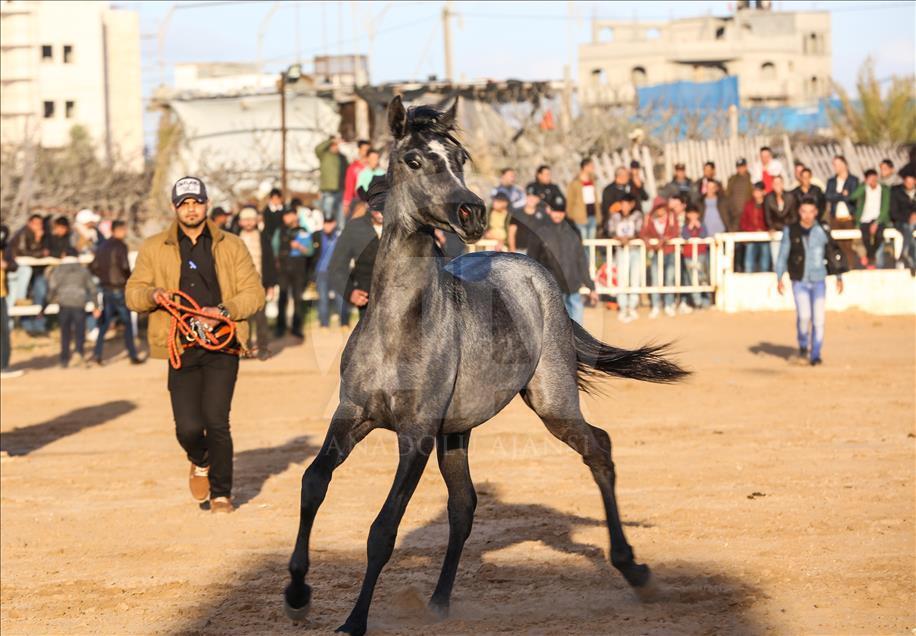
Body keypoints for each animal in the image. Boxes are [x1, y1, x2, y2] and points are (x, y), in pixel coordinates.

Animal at [283, 96, 688, 635]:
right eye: (414, 159)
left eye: (460, 159)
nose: (471, 212)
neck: (397, 326)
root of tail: (536, 272)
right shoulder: (354, 417)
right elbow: (313, 483)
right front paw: (296, 592)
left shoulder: (415, 435)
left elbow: (383, 529)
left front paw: (353, 621)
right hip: (458, 432)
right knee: (464, 505)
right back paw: (439, 600)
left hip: (552, 401)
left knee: (598, 448)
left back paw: (634, 569)